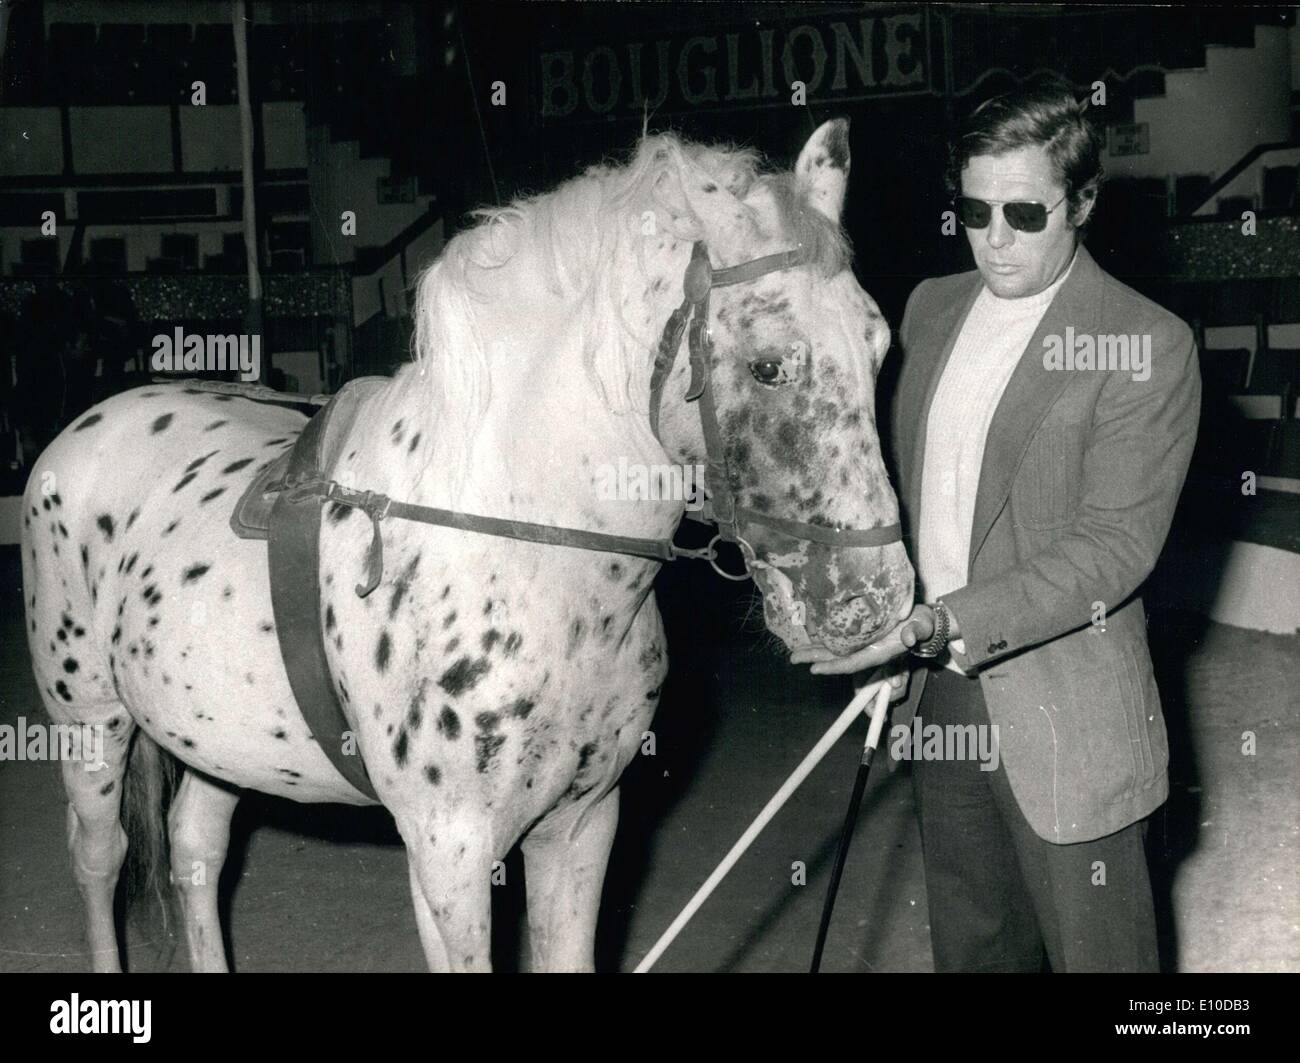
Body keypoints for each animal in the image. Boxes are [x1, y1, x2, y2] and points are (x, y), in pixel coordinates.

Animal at [20, 119, 913, 972]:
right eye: (768, 366)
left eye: (878, 347)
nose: (874, 604)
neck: (528, 556)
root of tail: (87, 426)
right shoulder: (447, 854)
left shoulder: (584, 822)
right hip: (89, 721)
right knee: (100, 858)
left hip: (215, 740)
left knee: (196, 849)